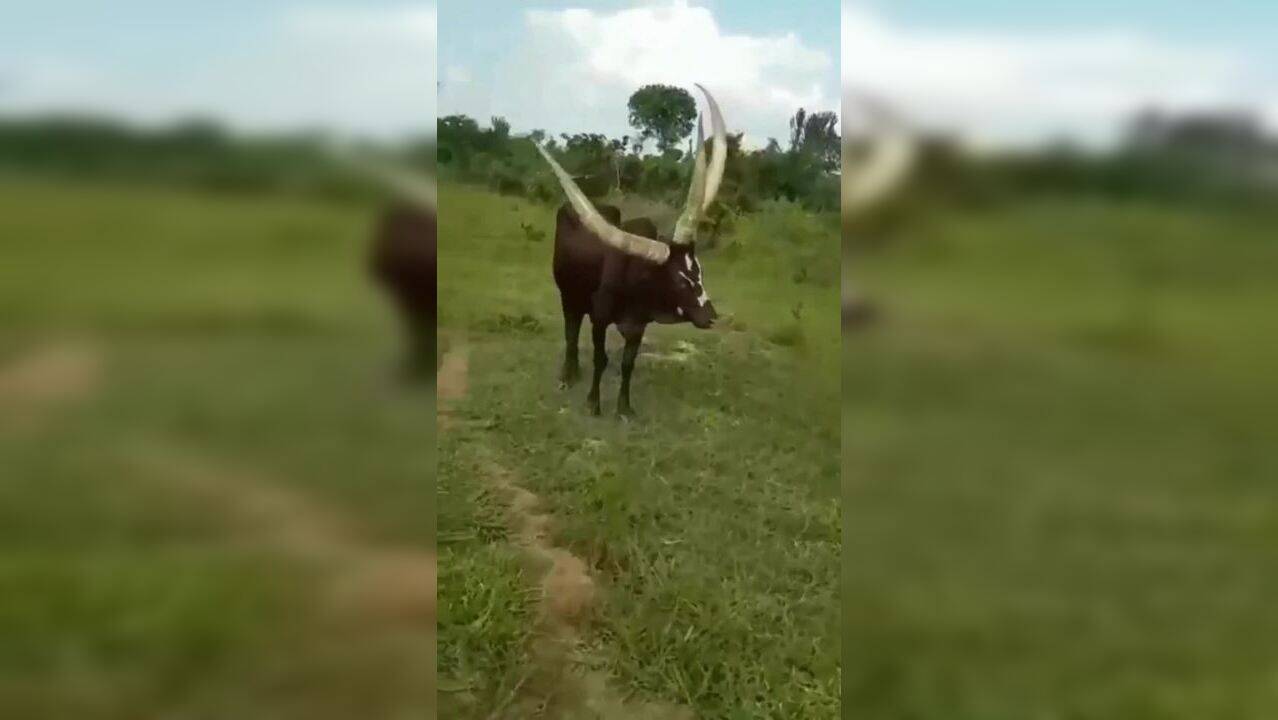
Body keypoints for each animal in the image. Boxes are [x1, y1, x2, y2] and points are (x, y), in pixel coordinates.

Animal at [534, 83, 727, 418]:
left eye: (700, 271)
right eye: (678, 280)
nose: (711, 316)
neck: (636, 281)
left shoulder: (638, 326)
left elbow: (627, 364)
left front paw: (624, 407)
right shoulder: (600, 319)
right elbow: (600, 359)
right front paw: (593, 403)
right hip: (567, 295)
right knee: (571, 332)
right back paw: (568, 374)